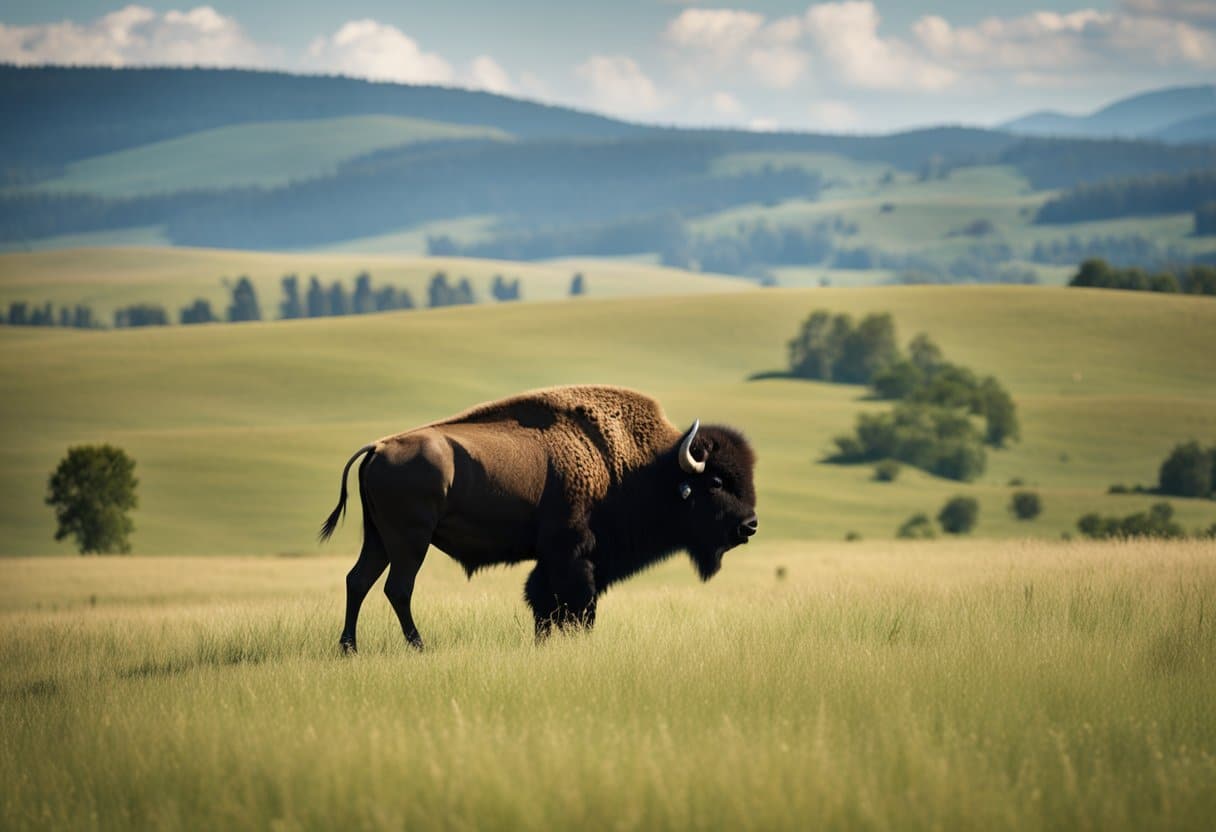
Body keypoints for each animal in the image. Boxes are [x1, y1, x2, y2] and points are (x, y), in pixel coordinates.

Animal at [320, 385, 758, 650]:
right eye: (716, 481)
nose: (750, 525)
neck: (643, 470)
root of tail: (379, 447)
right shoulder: (574, 555)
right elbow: (575, 602)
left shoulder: (552, 560)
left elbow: (544, 601)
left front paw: (543, 642)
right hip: (410, 541)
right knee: (398, 588)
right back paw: (418, 646)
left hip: (378, 538)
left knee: (358, 580)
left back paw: (348, 648)